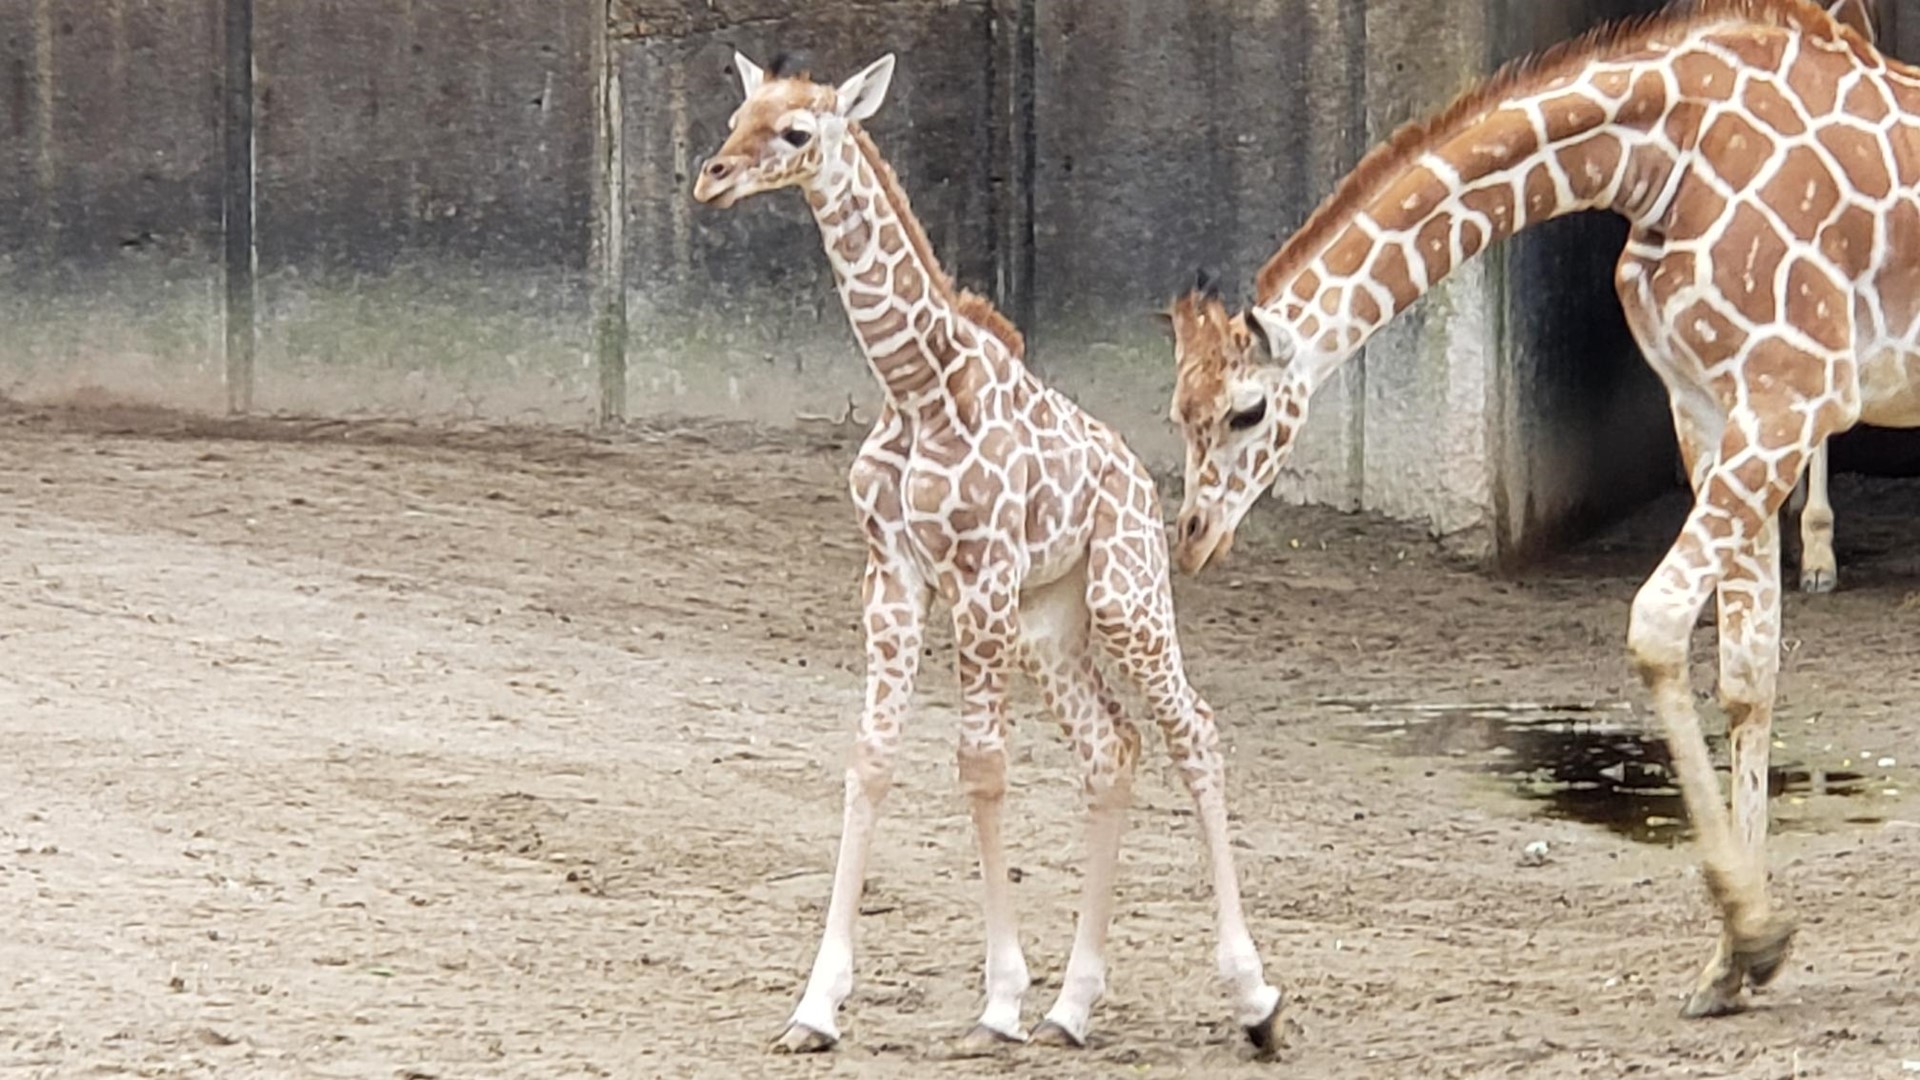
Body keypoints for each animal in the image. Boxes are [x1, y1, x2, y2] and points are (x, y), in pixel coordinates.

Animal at [691, 52, 1282, 1054]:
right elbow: (871, 757)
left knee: (1192, 730)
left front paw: (1000, 1000)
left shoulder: (981, 578)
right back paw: (1073, 1008)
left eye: (796, 132)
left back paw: (1252, 999)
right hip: (1052, 623)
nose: (711, 177)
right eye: (738, 114)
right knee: (1112, 748)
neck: (917, 386)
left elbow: (982, 766)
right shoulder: (892, 578)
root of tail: (1140, 480)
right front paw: (815, 1007)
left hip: (1124, 595)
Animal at [1162, 0, 1920, 1018]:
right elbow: (1748, 674)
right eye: (1178, 413)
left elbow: (1655, 625)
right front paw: (1730, 962)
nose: (1193, 538)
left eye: (1246, 411)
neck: (1657, 153)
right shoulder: (1711, 409)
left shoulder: (1787, 396)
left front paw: (1754, 934)